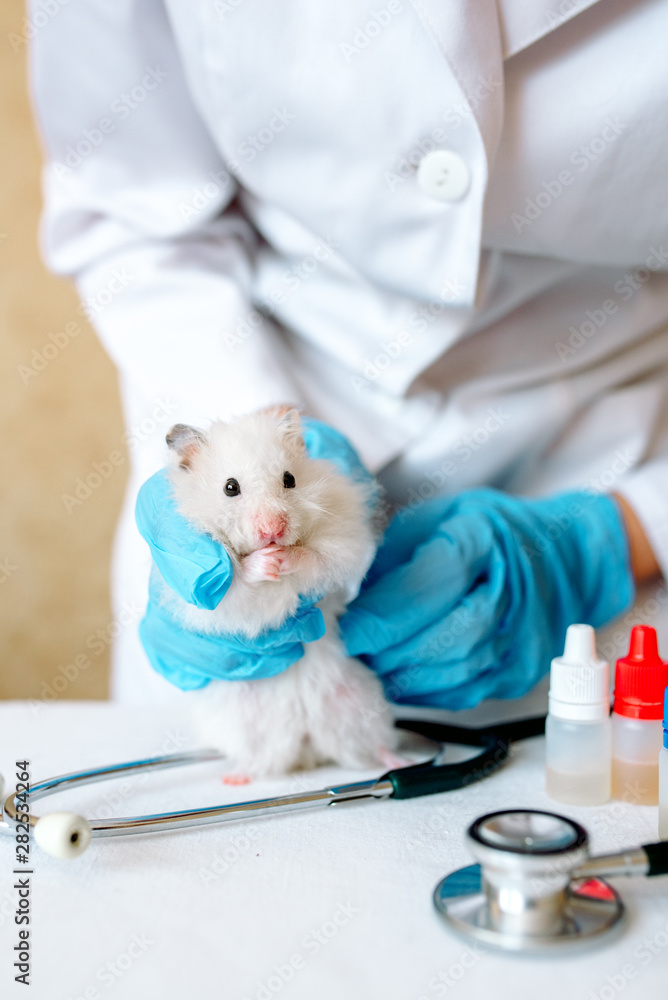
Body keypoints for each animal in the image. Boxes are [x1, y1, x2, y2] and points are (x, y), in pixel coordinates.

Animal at [161, 407, 399, 782]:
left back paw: (398, 761)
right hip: (245, 723)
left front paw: (283, 557)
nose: (273, 530)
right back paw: (236, 778)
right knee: (258, 758)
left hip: (359, 704)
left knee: (375, 743)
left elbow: (315, 556)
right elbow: (237, 581)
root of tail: (306, 747)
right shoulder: (207, 592)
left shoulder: (341, 538)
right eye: (230, 487)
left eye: (289, 479)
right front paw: (264, 563)